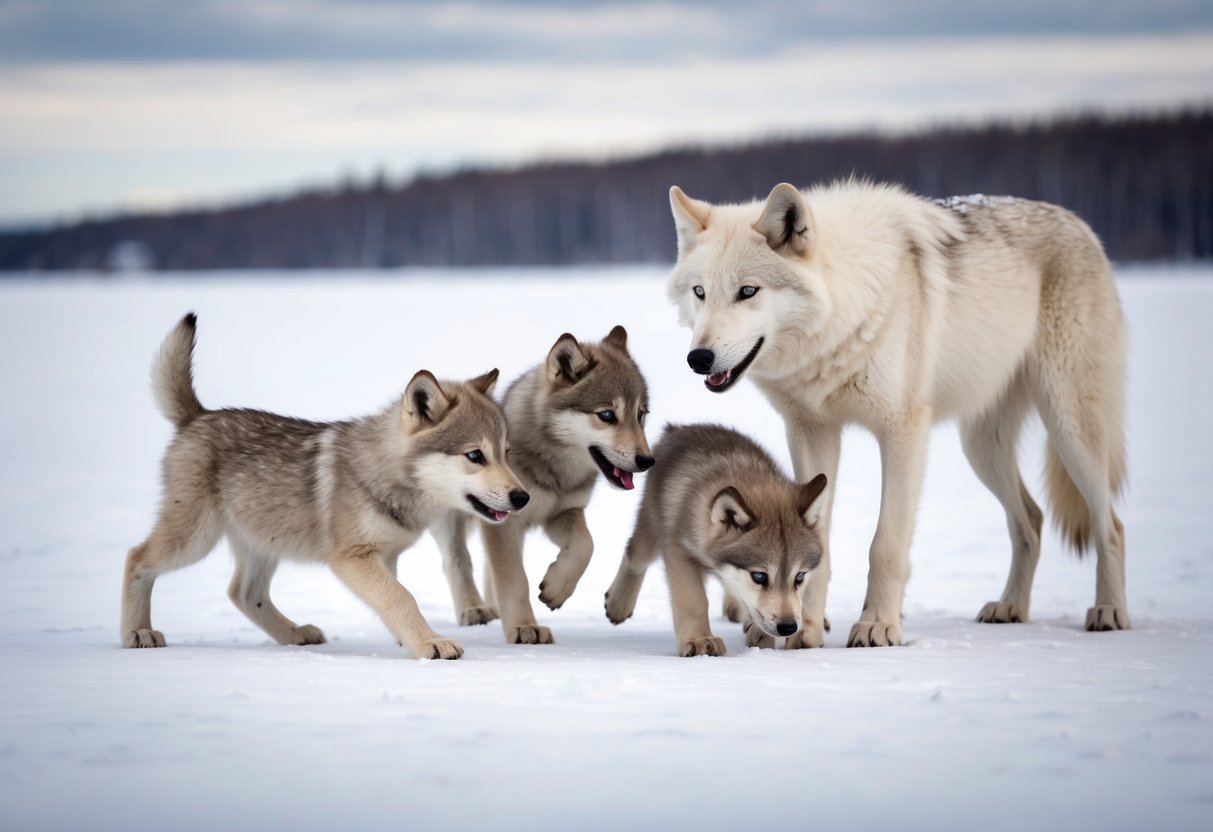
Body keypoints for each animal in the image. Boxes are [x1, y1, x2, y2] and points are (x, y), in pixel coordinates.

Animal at [120, 313, 529, 660]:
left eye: (506, 453)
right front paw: (430, 643)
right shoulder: (352, 557)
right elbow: (401, 597)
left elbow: (395, 596)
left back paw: (295, 634)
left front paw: (410, 639)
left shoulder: (386, 556)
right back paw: (137, 633)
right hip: (195, 539)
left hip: (262, 542)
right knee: (136, 558)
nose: (522, 497)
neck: (384, 476)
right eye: (475, 455)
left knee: (244, 594)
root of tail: (198, 415)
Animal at [433, 326, 654, 644]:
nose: (648, 461)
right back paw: (474, 611)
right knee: (457, 562)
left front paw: (555, 590)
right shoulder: (506, 524)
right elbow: (514, 579)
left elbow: (586, 545)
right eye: (607, 415)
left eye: (641, 414)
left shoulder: (562, 513)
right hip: (452, 522)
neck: (555, 472)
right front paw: (525, 627)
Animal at [605, 424, 828, 657]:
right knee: (633, 554)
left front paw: (758, 633)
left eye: (799, 577)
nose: (788, 627)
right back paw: (618, 604)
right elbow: (694, 600)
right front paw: (699, 640)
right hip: (651, 530)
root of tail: (678, 428)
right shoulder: (678, 550)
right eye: (759, 576)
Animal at [667, 180, 1129, 647]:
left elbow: (886, 544)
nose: (697, 359)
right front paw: (805, 631)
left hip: (1069, 429)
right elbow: (817, 543)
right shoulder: (811, 432)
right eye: (700, 292)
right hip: (982, 448)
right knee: (1032, 521)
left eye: (747, 291)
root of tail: (1080, 224)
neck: (844, 312)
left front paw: (878, 626)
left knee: (1110, 524)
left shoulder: (903, 433)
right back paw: (1010, 607)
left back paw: (1109, 612)